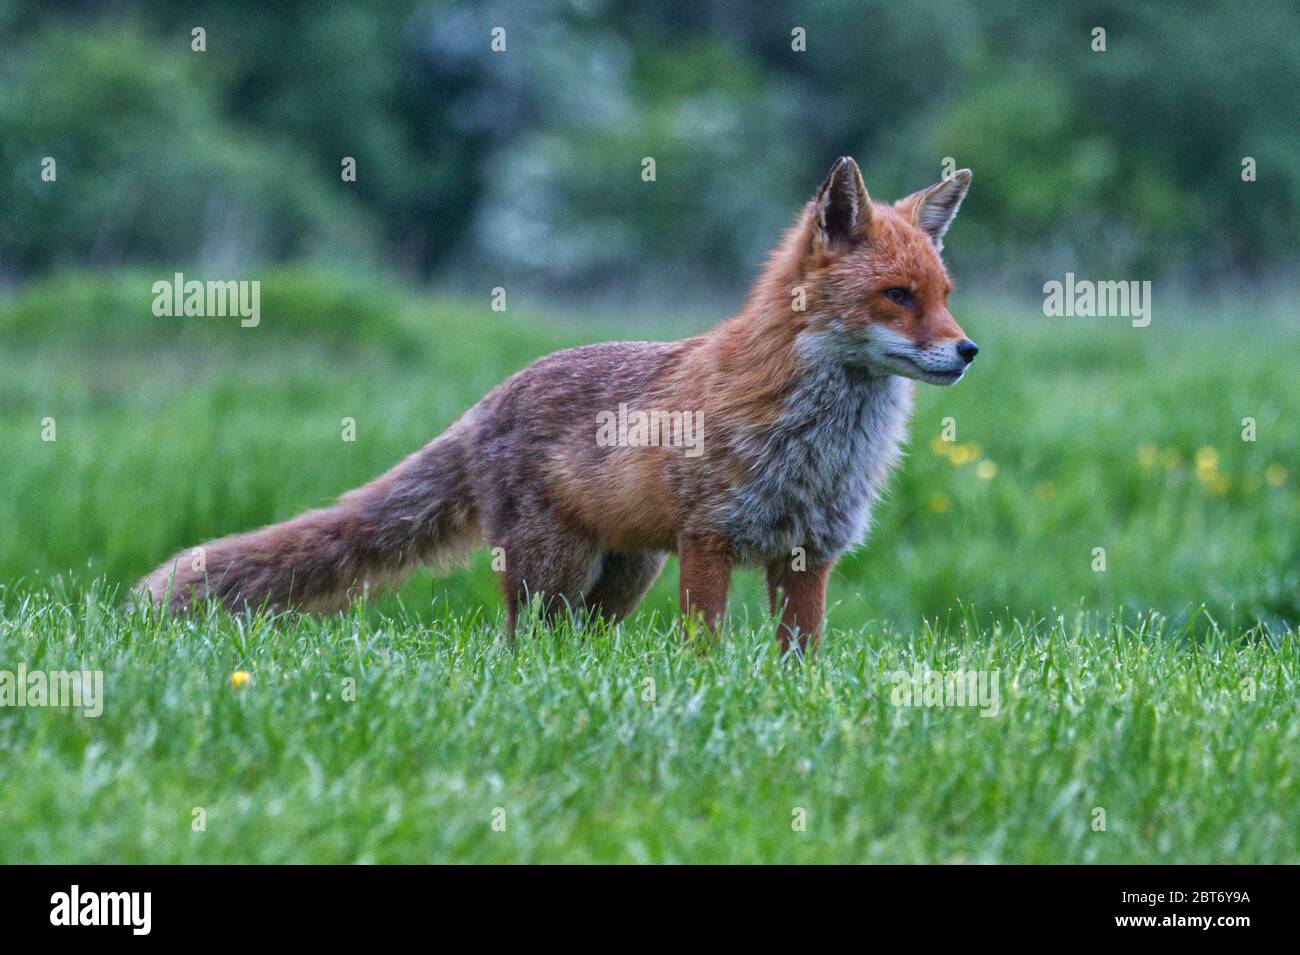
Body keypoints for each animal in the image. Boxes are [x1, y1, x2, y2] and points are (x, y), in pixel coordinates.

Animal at [138, 156, 977, 652]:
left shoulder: (810, 550)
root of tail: (490, 398)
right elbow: (703, 646)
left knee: (573, 645)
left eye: (944, 295)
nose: (968, 351)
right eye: (897, 296)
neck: (819, 442)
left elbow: (800, 657)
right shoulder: (710, 538)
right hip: (557, 568)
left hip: (621, 576)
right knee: (522, 643)